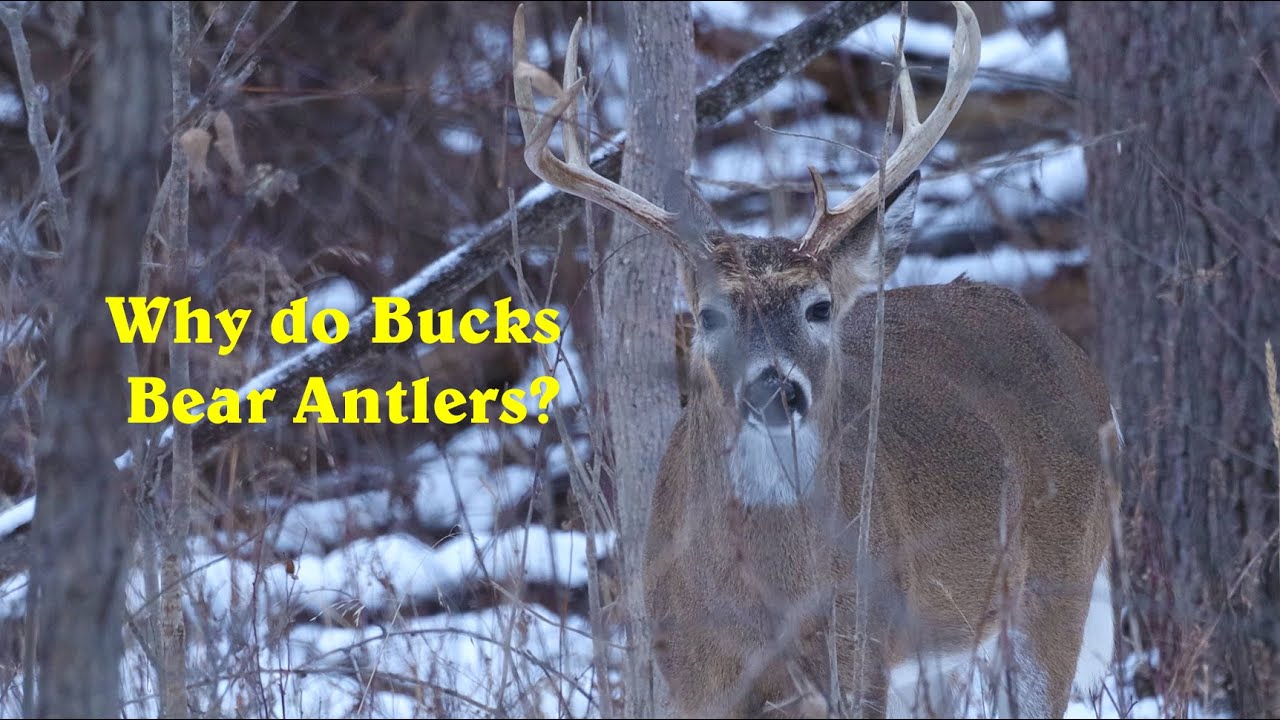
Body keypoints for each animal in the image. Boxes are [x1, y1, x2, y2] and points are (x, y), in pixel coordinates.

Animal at [512, 2, 1118, 717]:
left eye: (820, 307)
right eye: (710, 315)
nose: (776, 388)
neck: (758, 609)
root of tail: (1077, 358)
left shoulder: (859, 651)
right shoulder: (689, 673)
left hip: (1057, 579)